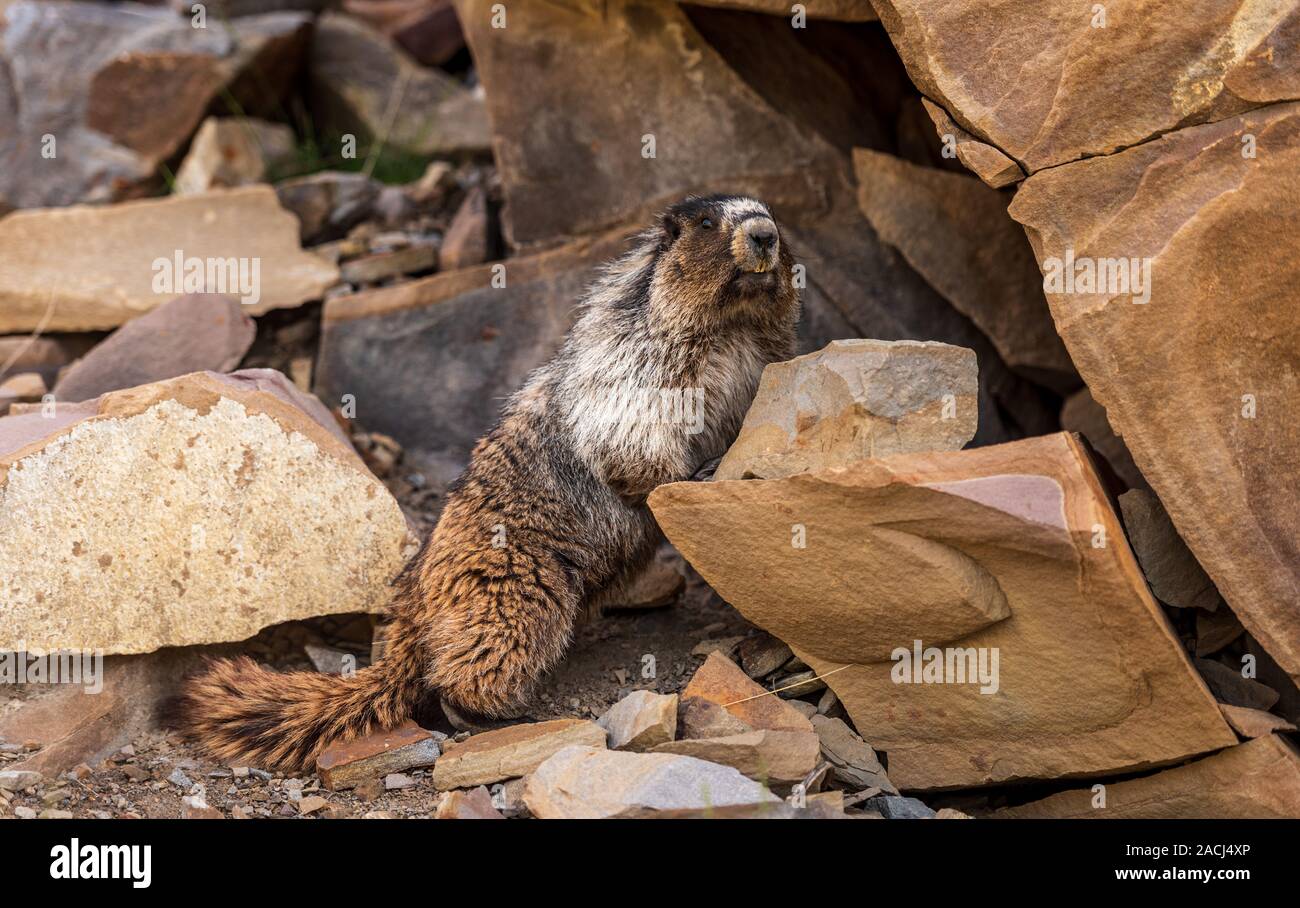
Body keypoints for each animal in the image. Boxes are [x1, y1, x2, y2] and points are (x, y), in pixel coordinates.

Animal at [178, 195, 800, 770]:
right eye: (706, 222)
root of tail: (411, 611)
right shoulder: (642, 361)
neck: (732, 327)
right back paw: (490, 712)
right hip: (508, 586)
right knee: (472, 659)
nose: (765, 233)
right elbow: (631, 431)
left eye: (770, 213)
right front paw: (694, 470)